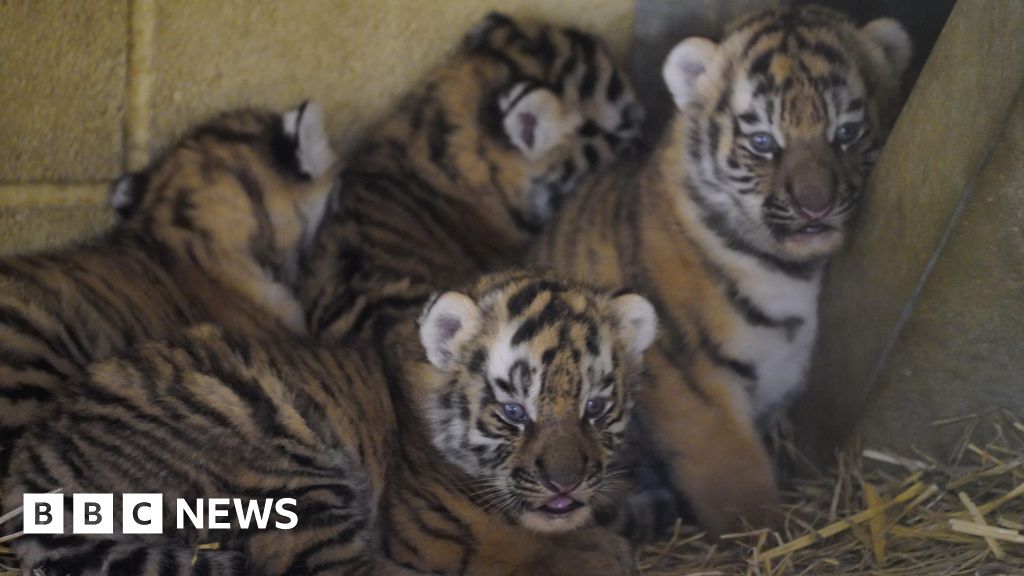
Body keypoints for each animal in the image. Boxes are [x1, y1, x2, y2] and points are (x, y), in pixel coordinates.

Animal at [3, 270, 658, 576]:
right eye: (515, 412)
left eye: (595, 408)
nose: (564, 485)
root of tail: (34, 462)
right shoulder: (441, 536)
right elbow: (520, 551)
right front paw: (602, 552)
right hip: (284, 462)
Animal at [532, 5, 913, 537]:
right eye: (763, 142)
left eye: (845, 134)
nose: (815, 208)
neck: (792, 268)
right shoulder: (691, 374)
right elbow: (733, 471)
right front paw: (765, 531)